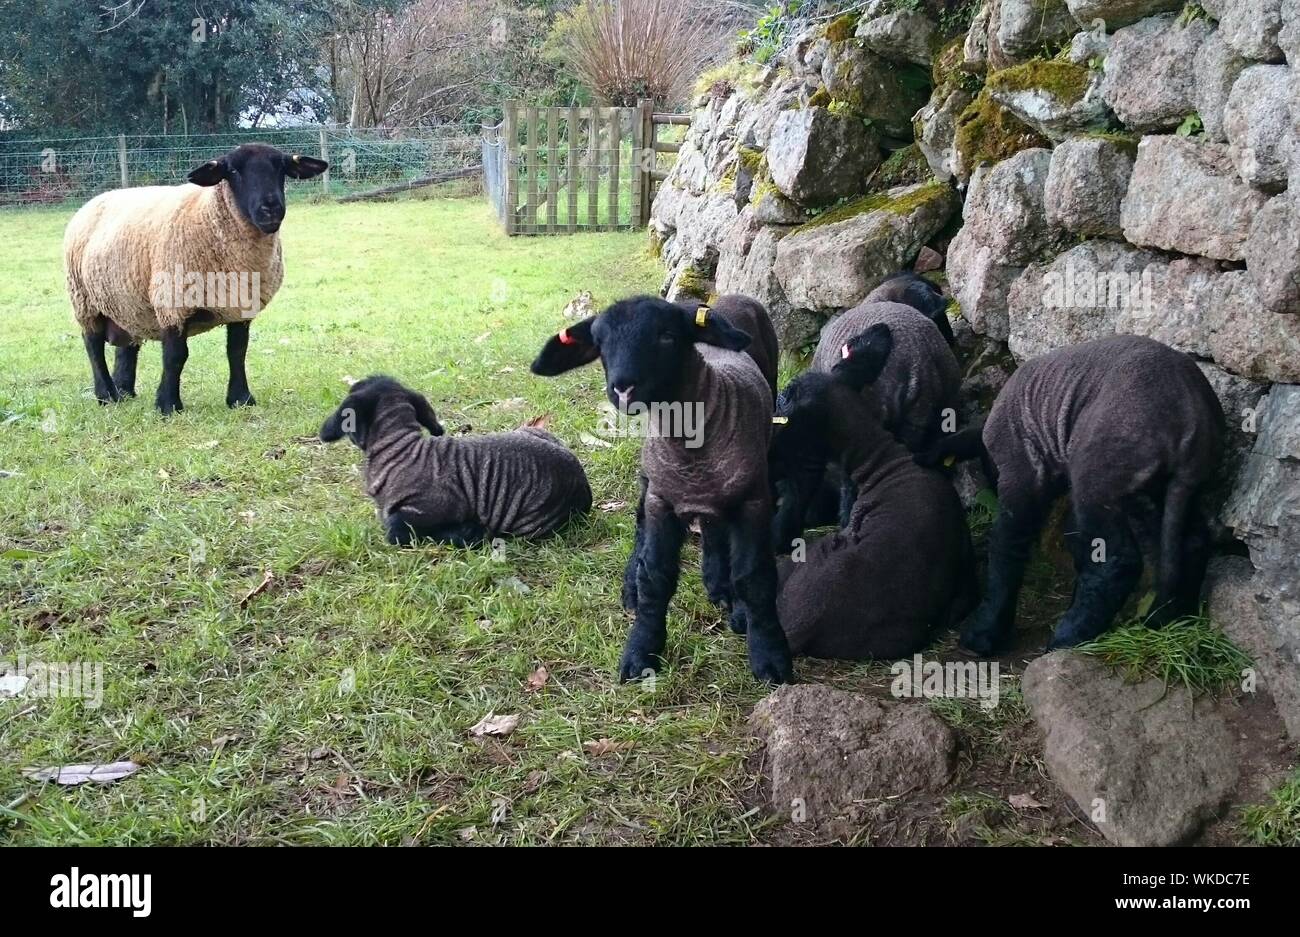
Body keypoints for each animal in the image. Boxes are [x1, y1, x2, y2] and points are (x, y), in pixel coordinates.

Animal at [64, 143, 327, 414]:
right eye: (233, 170)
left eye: (282, 168)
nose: (270, 209)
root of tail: (97, 199)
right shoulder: (173, 303)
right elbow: (175, 356)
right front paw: (168, 405)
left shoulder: (240, 306)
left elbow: (237, 351)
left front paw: (241, 399)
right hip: (84, 299)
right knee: (92, 344)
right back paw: (107, 395)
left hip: (127, 302)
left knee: (127, 346)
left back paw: (124, 389)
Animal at [531, 294, 792, 684]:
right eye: (600, 344)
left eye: (667, 336)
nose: (623, 389)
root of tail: (728, 297)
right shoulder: (660, 500)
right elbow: (655, 575)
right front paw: (641, 650)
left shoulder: (753, 501)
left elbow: (754, 578)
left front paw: (769, 653)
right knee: (644, 526)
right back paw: (634, 588)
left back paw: (720, 586)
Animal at [920, 335, 1226, 653]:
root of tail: (1190, 411)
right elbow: (1077, 544)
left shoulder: (1022, 473)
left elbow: (1007, 546)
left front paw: (983, 633)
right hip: (1165, 488)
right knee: (1188, 544)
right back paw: (1167, 618)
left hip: (1098, 473)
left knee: (1118, 561)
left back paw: (1068, 637)